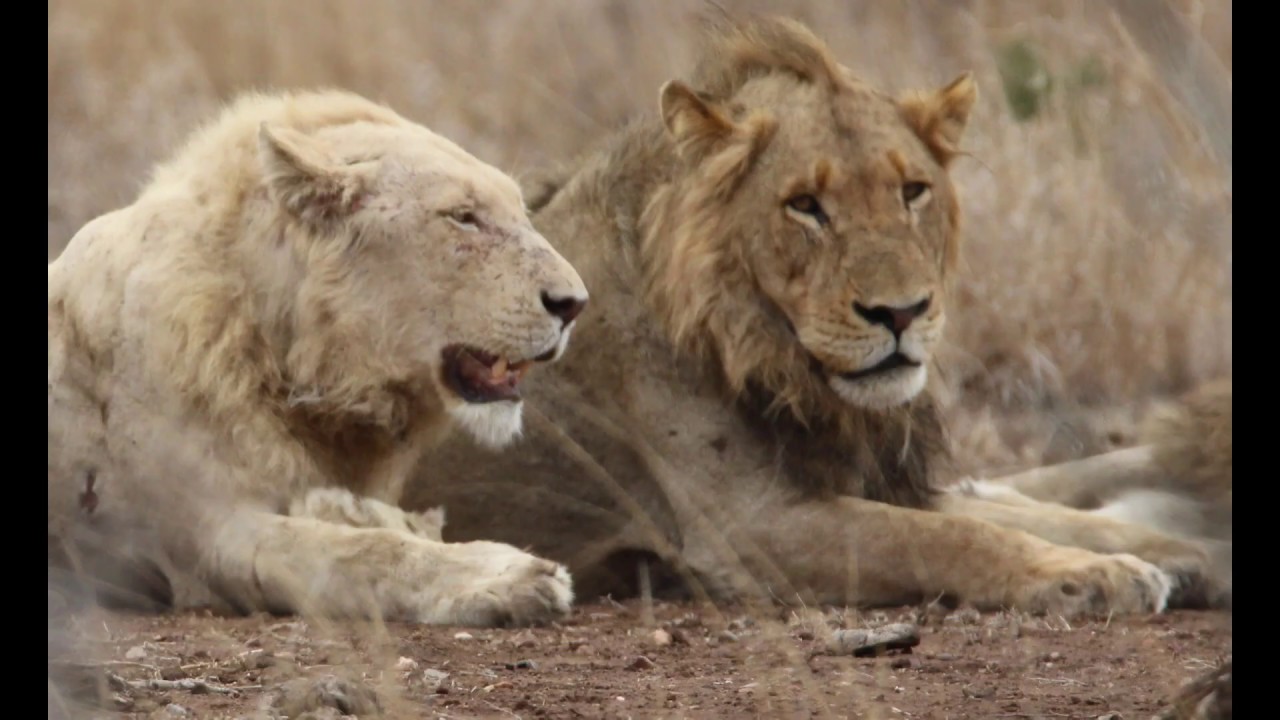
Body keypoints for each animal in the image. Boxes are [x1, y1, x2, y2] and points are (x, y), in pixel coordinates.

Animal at [47, 88, 590, 627]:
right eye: (464, 217)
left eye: (523, 214)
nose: (574, 304)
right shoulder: (202, 536)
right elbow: (361, 552)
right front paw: (503, 575)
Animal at [410, 15, 1223, 617]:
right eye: (805, 205)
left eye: (913, 191)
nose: (901, 312)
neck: (769, 350)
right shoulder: (750, 529)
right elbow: (949, 538)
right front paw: (1090, 576)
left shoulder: (885, 481)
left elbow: (1021, 515)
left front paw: (1177, 557)